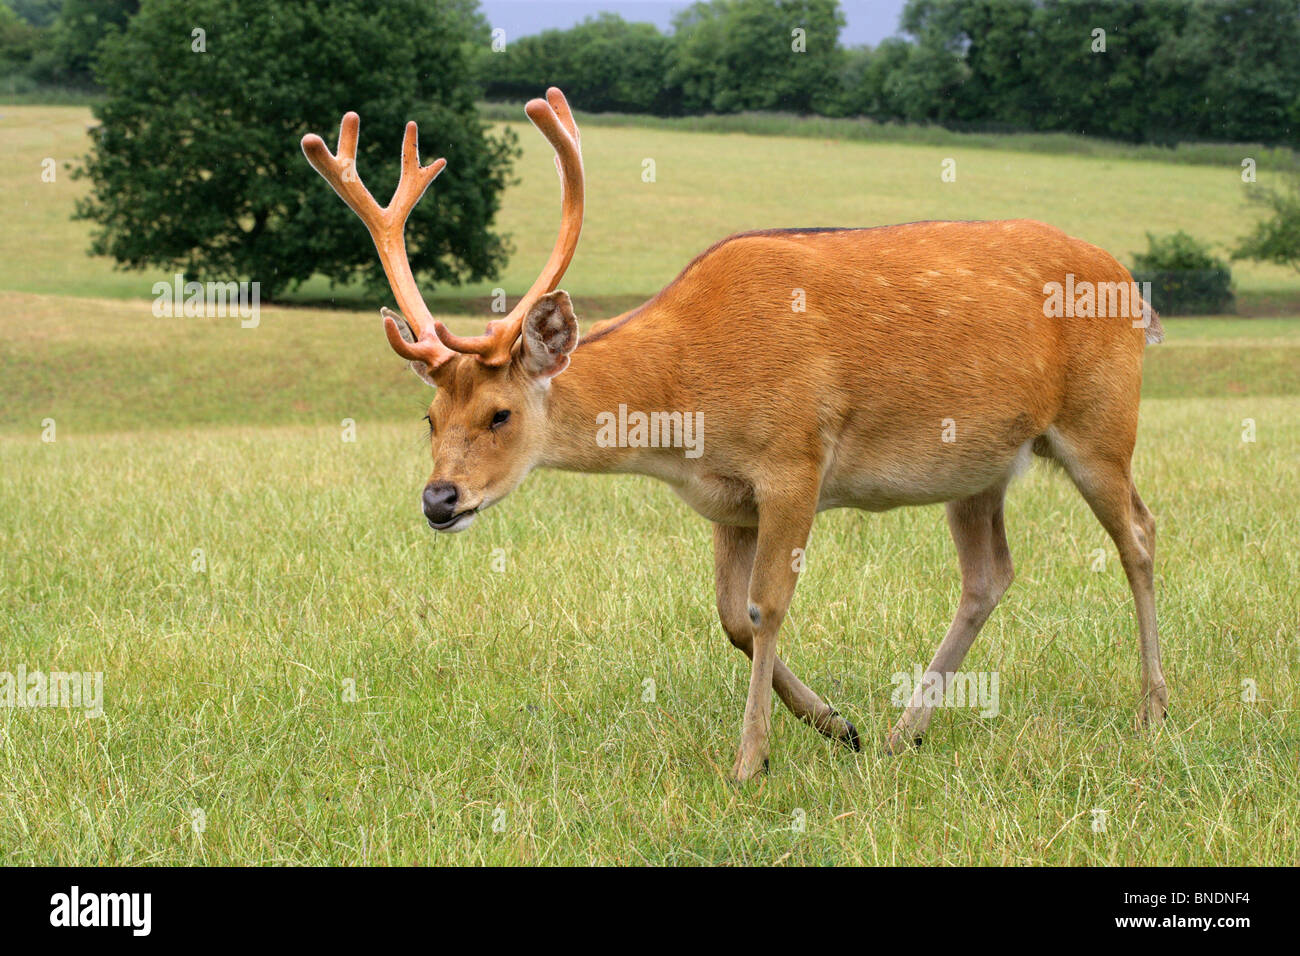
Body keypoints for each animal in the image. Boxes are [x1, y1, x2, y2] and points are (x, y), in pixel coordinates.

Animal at [301, 88, 1168, 782]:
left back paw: (1153, 710)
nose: (439, 500)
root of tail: (1132, 288)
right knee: (990, 575)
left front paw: (750, 761)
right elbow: (728, 617)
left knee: (1139, 533)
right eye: (429, 417)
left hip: (1100, 423)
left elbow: (768, 605)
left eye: (499, 415)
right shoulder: (727, 499)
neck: (688, 398)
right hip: (980, 468)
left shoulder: (794, 461)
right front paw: (837, 725)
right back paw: (902, 733)